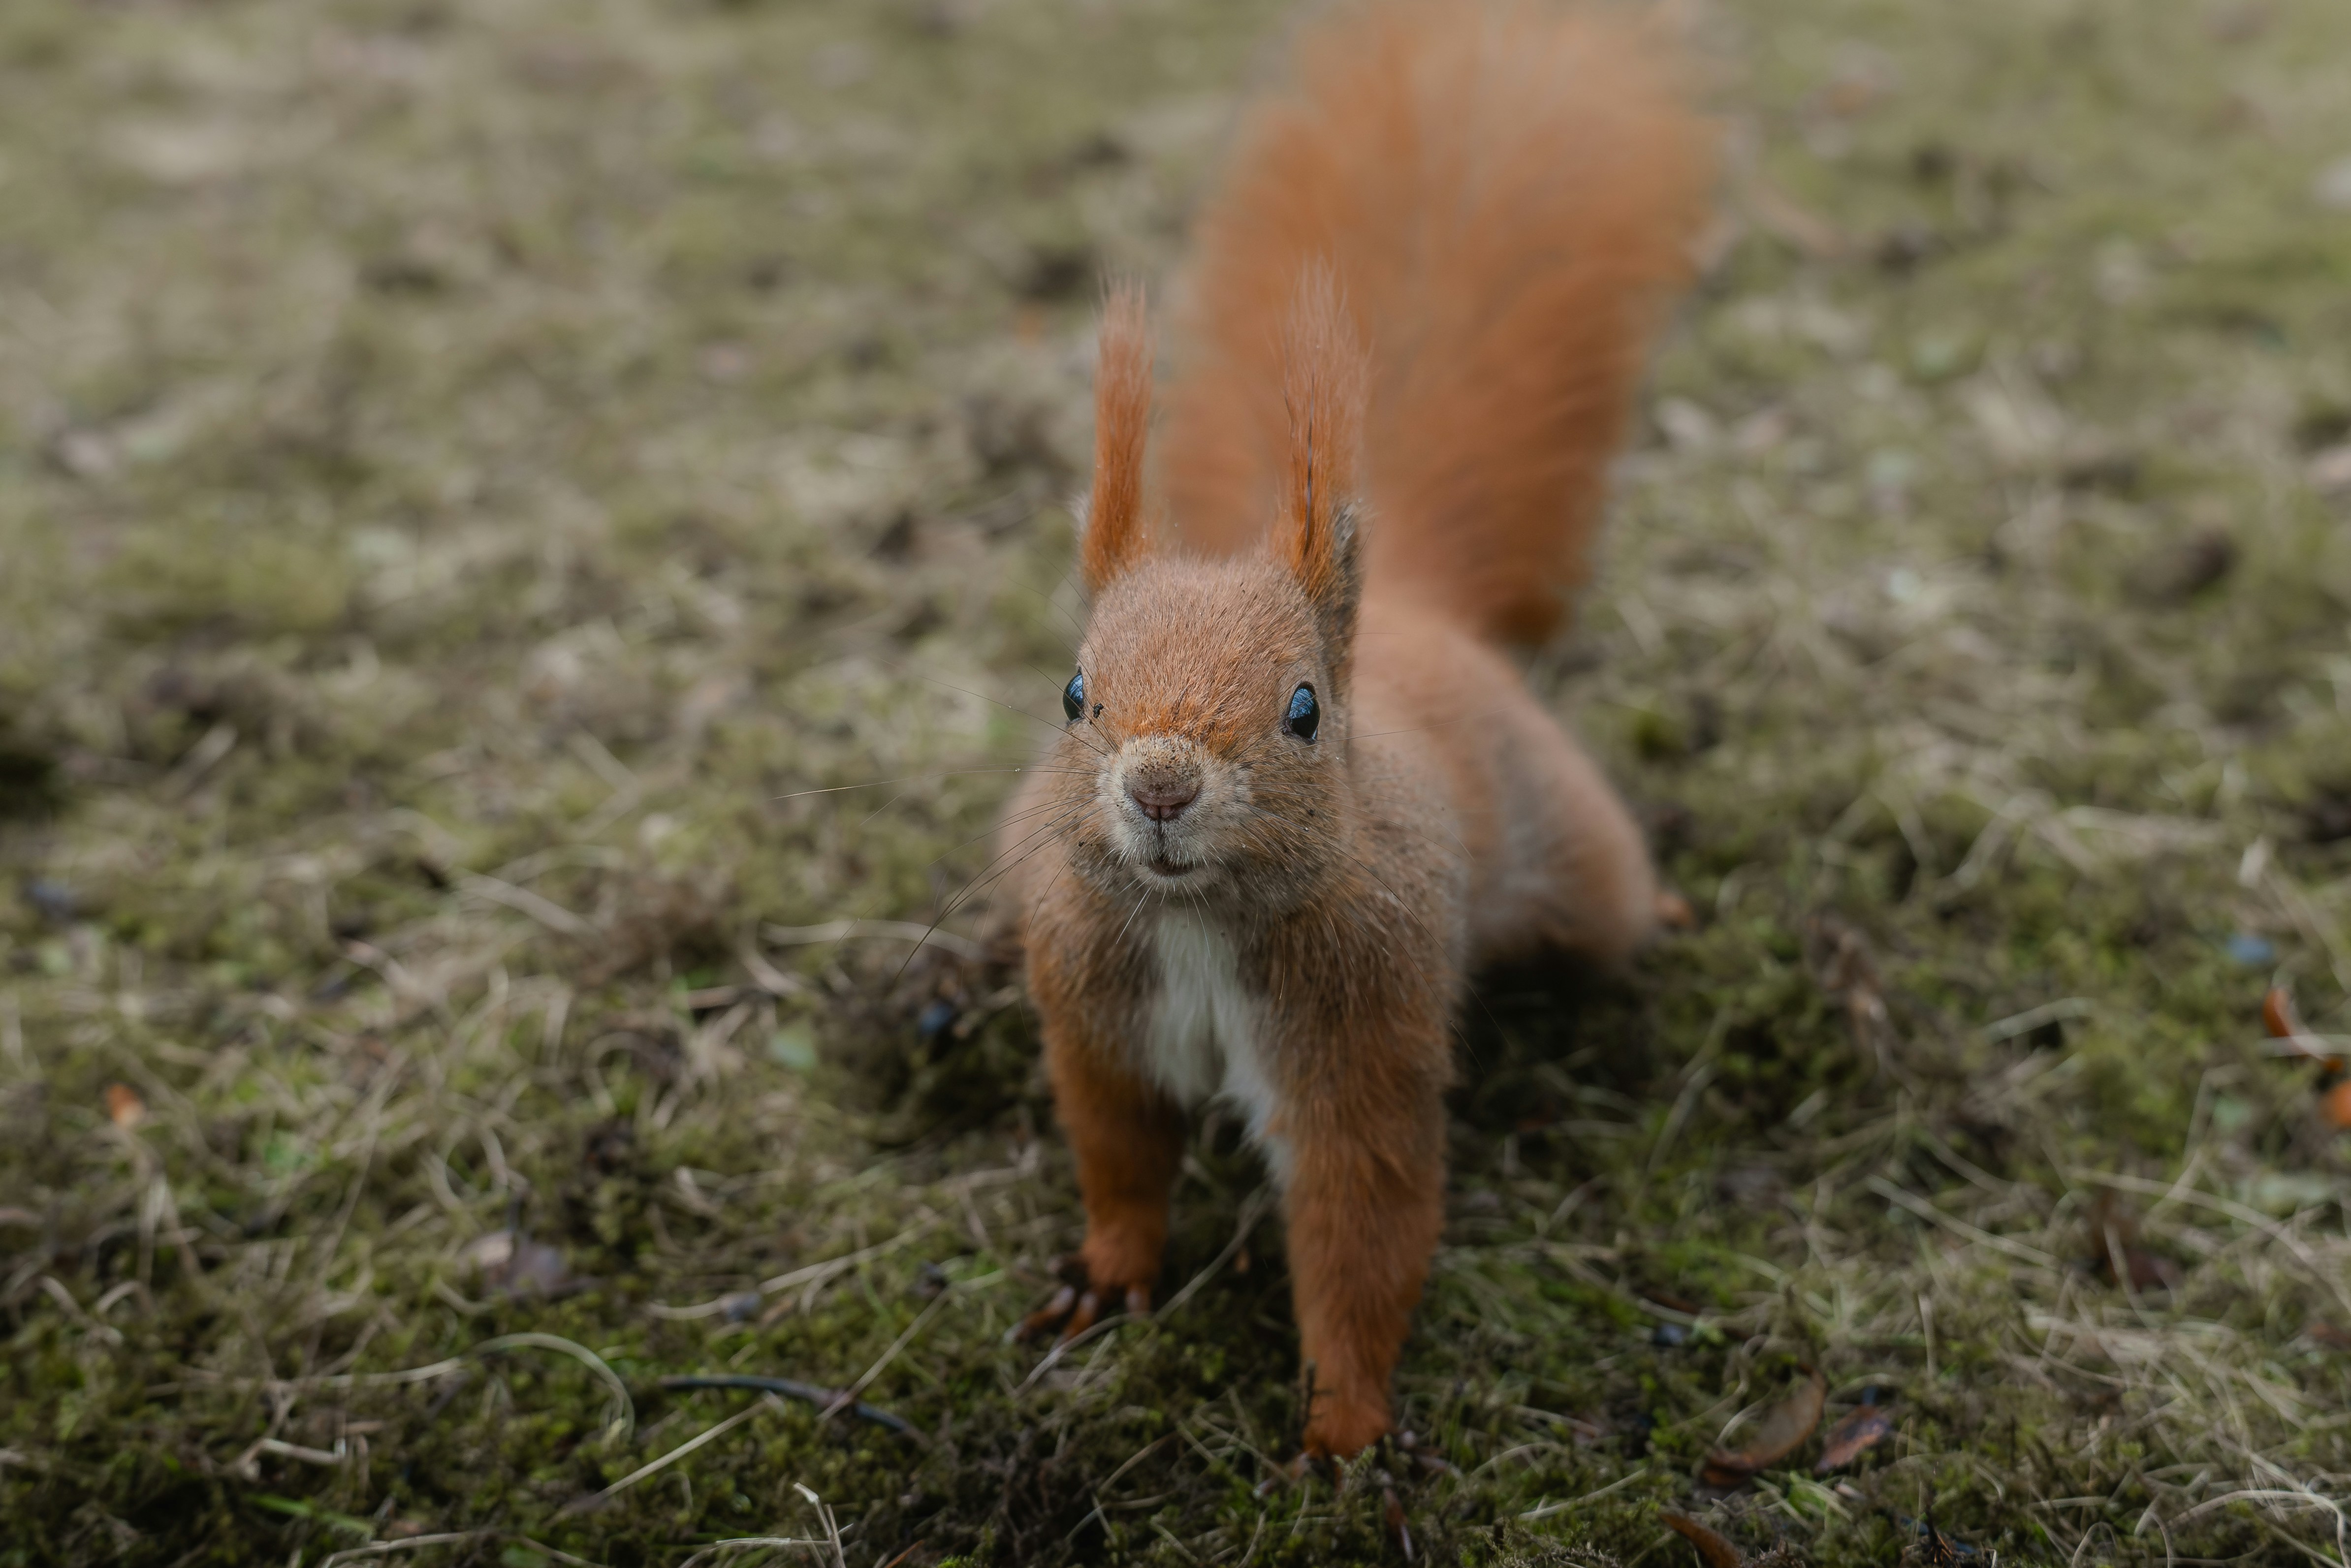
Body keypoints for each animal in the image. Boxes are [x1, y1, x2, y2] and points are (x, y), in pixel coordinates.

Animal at [992, 0, 1716, 1459]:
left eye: (1305, 709)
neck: (1201, 926)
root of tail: (1432, 620)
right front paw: (1106, 1276)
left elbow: (1360, 1226)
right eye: (1074, 695)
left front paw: (1343, 1427)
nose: (1160, 787)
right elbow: (1118, 1155)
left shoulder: (1359, 1042)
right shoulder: (1094, 1017)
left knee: (1611, 900)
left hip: (1570, 847)